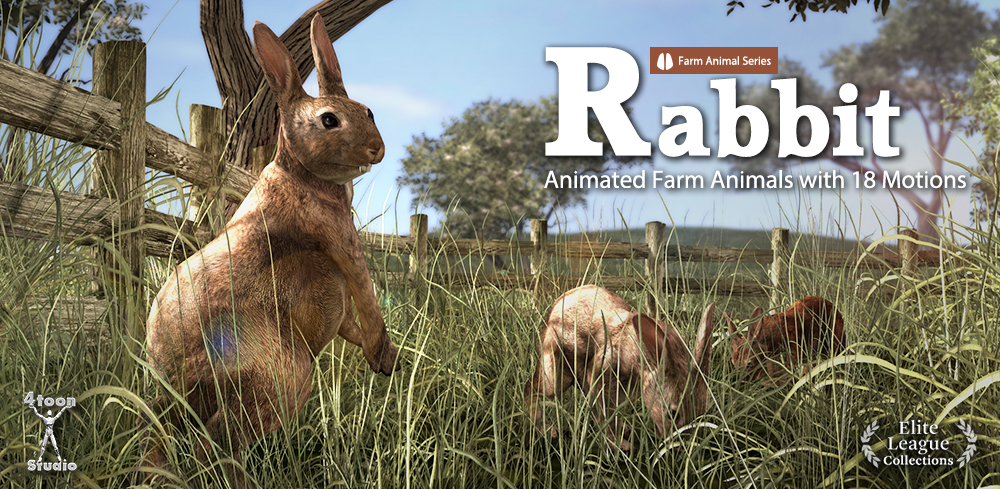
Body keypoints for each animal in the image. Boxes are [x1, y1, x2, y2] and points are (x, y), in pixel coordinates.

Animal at [143, 13, 399, 487]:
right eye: (329, 120)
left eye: (369, 111)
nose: (377, 148)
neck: (300, 174)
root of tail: (175, 374)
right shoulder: (343, 244)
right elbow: (368, 298)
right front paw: (383, 357)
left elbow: (349, 322)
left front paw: (377, 355)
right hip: (283, 375)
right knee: (218, 444)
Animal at [524, 285, 715, 451]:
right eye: (672, 414)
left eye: (703, 412)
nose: (680, 447)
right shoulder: (598, 376)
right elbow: (605, 417)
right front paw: (620, 446)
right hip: (556, 374)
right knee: (531, 389)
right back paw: (547, 430)